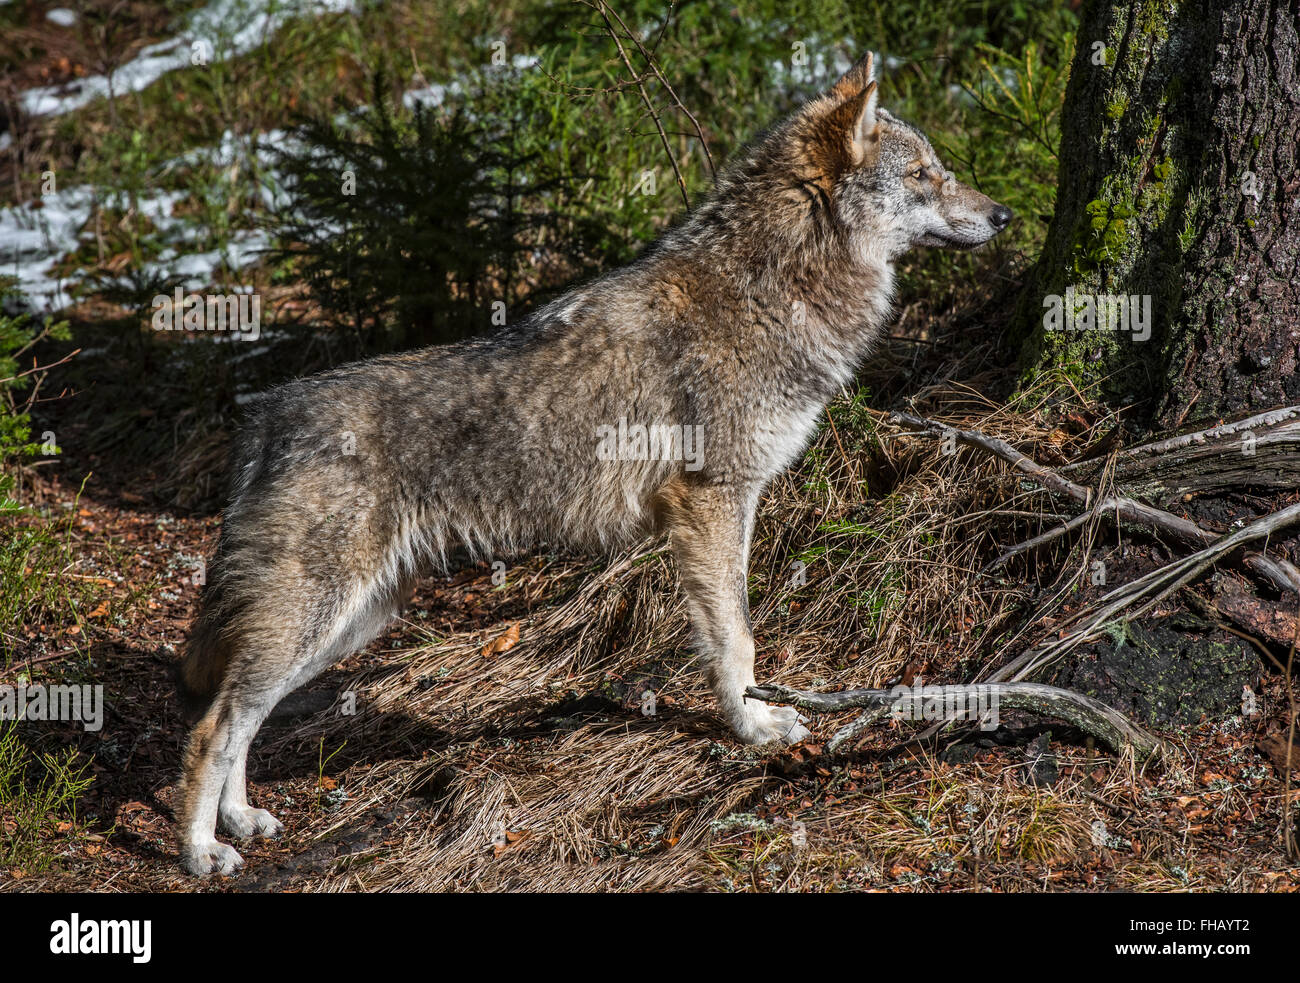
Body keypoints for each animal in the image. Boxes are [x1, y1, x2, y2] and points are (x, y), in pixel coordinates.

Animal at [175, 51, 1012, 875]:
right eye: (924, 174)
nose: (1004, 215)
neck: (769, 284)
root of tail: (268, 414)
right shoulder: (711, 503)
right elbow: (738, 639)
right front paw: (754, 727)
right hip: (319, 618)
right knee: (213, 725)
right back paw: (200, 849)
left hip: (350, 622)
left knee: (244, 716)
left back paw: (242, 818)